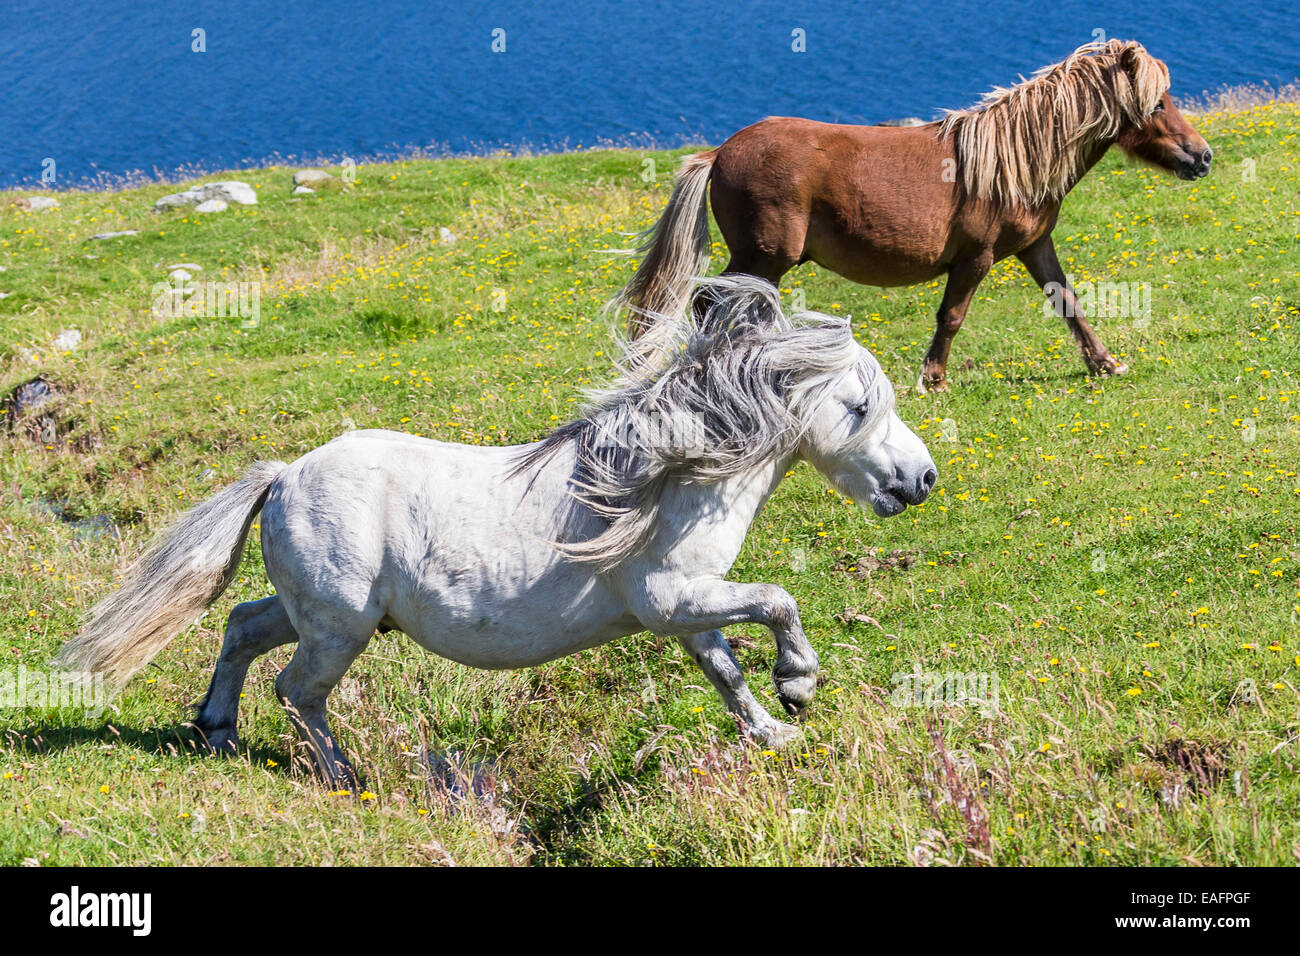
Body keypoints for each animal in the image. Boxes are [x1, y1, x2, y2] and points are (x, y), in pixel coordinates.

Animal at [57, 278, 937, 786]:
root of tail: (283, 476)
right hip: (339, 627)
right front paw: (800, 683)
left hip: (326, 613)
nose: (920, 479)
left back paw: (216, 731)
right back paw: (345, 777)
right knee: (298, 691)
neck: (668, 477)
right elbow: (778, 602)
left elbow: (724, 672)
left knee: (241, 628)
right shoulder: (673, 596)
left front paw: (772, 731)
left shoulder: (686, 607)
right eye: (861, 406)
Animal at [615, 39, 1212, 391]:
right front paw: (934, 381)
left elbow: (1068, 303)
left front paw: (1105, 363)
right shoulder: (977, 258)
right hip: (765, 256)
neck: (1012, 158)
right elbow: (951, 317)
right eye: (1158, 103)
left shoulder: (1035, 247)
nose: (1203, 157)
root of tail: (719, 153)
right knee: (709, 304)